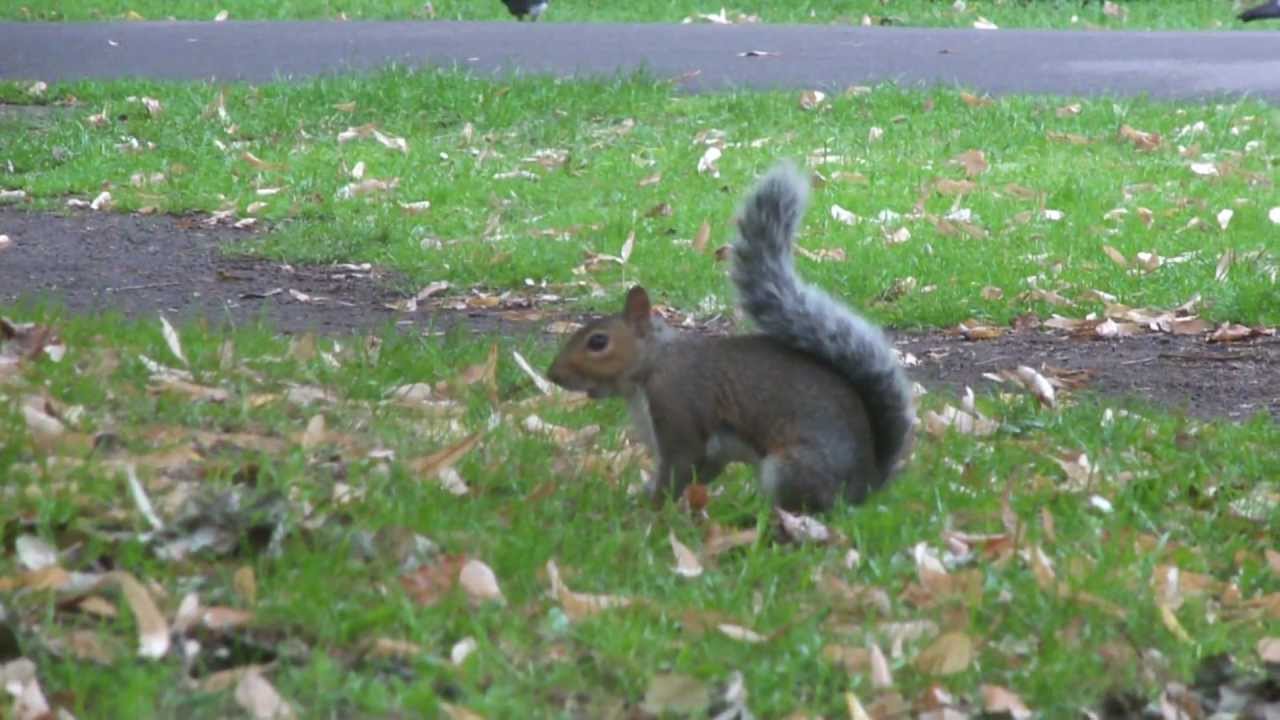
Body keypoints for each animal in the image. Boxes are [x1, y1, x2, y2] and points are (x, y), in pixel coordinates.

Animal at [546, 161, 915, 512]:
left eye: (598, 342)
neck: (651, 366)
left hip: (791, 469)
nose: (553, 375)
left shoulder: (678, 408)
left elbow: (679, 468)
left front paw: (649, 514)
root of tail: (867, 485)